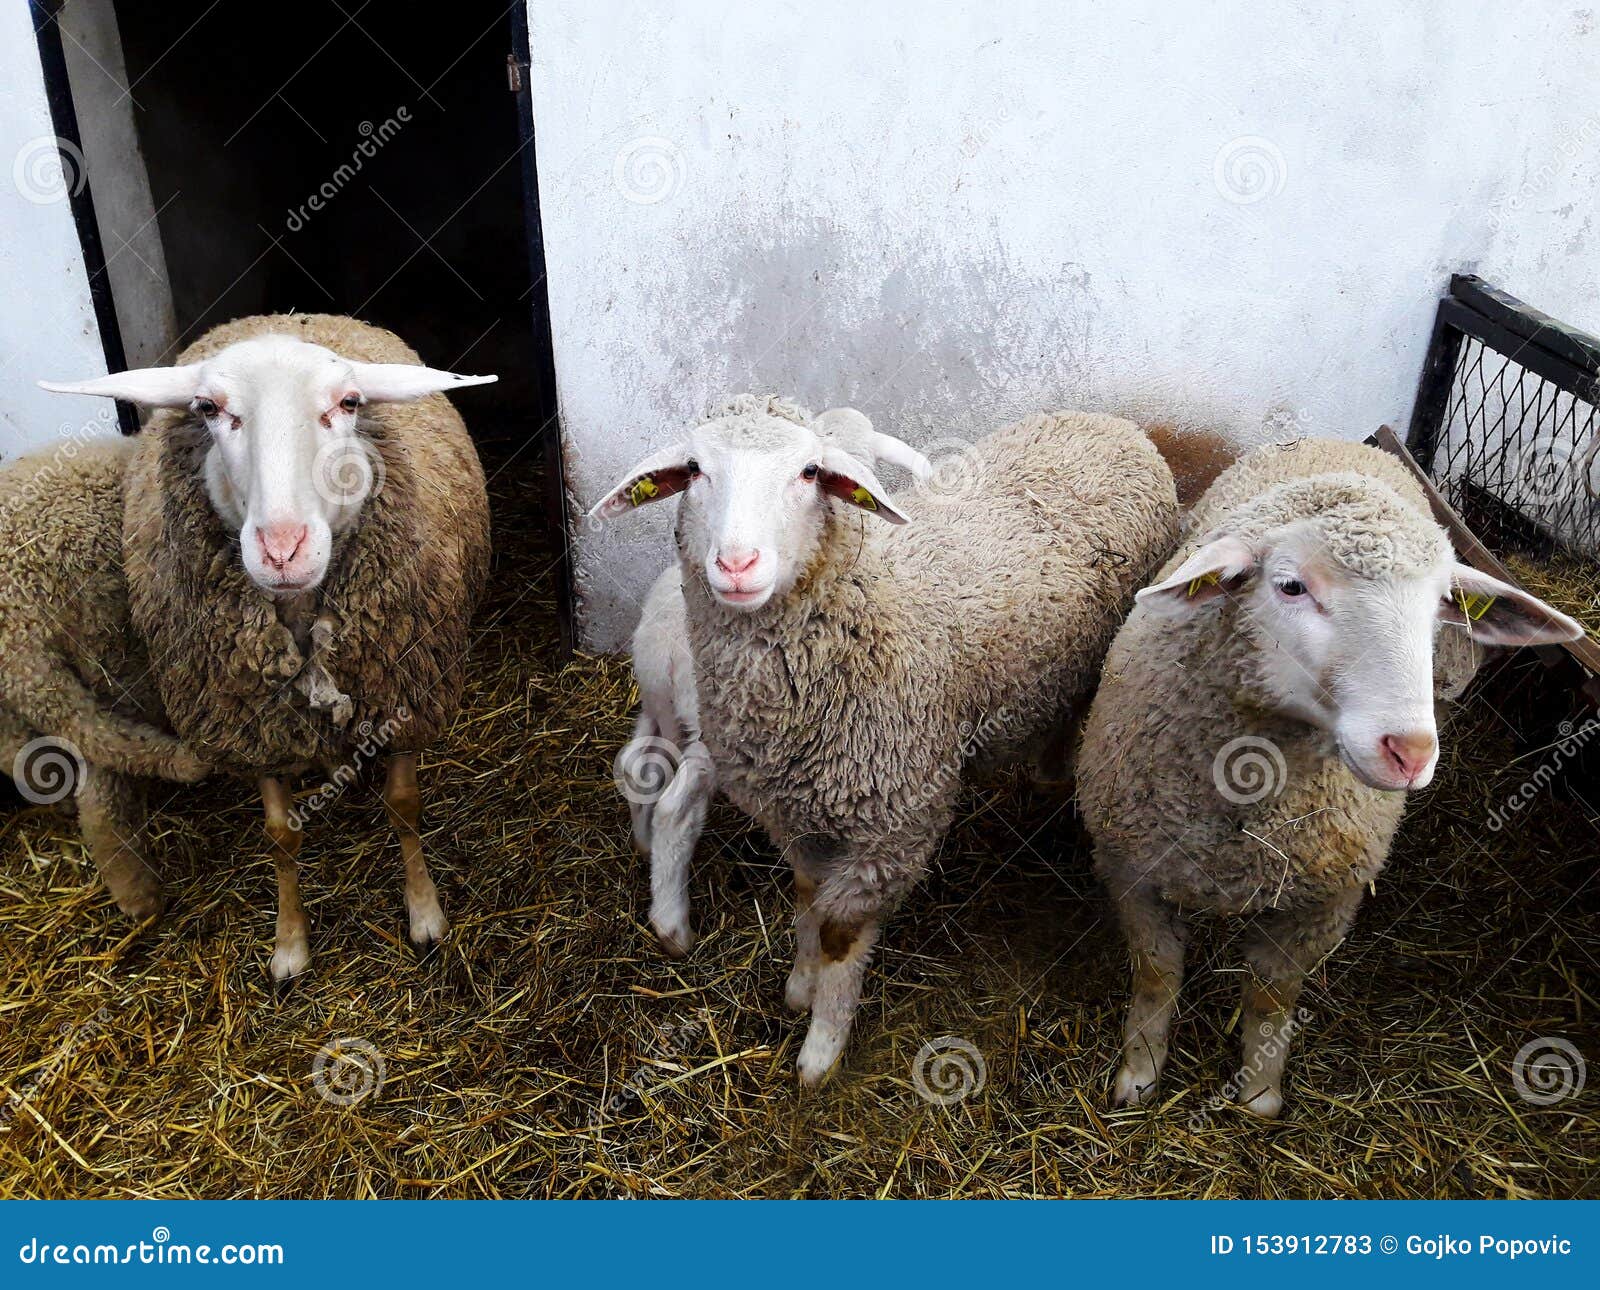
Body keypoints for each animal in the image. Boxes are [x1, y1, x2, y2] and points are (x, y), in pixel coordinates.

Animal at [0, 436, 210, 921]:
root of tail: (17, 619)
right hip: (113, 654)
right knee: (102, 793)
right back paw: (141, 898)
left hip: (19, 701)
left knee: (18, 756)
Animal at [41, 314, 494, 981]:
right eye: (208, 408)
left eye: (348, 403)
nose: (283, 549)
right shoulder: (255, 729)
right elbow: (280, 836)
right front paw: (289, 943)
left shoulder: (408, 697)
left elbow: (404, 805)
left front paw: (425, 914)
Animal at [618, 396, 932, 957]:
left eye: (812, 472)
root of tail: (662, 645)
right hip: (713, 737)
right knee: (676, 806)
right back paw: (674, 927)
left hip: (656, 704)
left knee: (637, 765)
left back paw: (644, 847)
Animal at [1077, 438, 1584, 1118]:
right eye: (1290, 586)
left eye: (1443, 605)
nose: (1410, 750)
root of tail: (1341, 443)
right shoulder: (1130, 870)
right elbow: (1157, 976)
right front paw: (1140, 1074)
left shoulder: (1325, 902)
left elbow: (1271, 992)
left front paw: (1260, 1091)